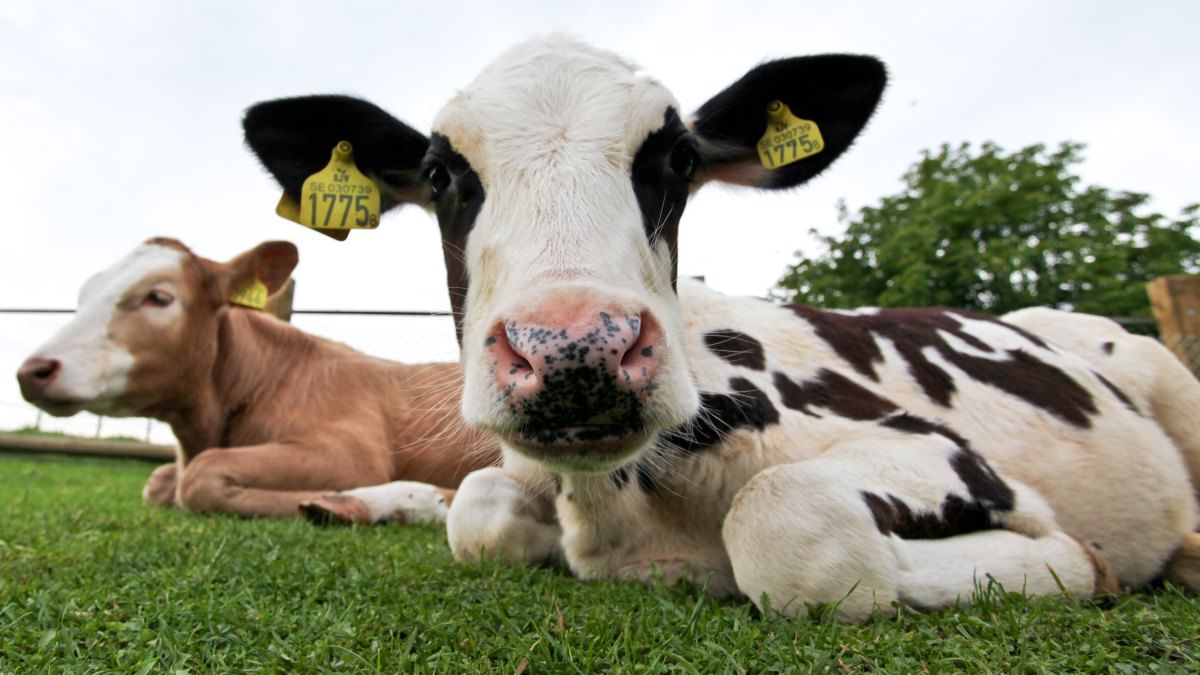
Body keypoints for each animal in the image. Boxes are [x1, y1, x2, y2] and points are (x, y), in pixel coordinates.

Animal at [16, 238, 499, 522]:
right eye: (82, 296)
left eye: (159, 297)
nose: (32, 370)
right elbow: (157, 483)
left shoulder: (355, 450)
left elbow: (198, 480)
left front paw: (344, 501)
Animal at [241, 36, 1200, 621]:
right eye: (441, 173)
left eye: (678, 157)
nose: (577, 347)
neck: (622, 510)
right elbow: (477, 515)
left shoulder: (941, 451)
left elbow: (787, 529)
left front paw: (1081, 564)